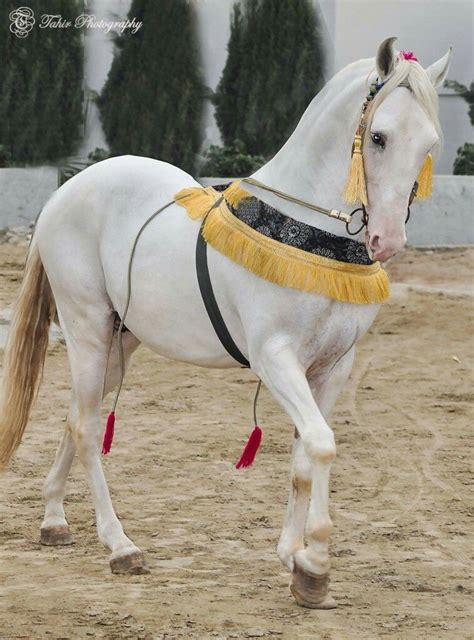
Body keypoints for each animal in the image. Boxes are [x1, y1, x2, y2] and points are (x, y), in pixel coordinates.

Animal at [0, 37, 451, 608]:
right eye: (379, 136)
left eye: (429, 143)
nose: (387, 241)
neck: (312, 236)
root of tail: (65, 192)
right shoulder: (276, 359)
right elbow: (322, 444)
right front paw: (316, 564)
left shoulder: (332, 368)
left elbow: (305, 454)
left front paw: (294, 559)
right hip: (87, 329)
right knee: (85, 426)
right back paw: (120, 545)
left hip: (120, 343)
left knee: (74, 414)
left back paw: (54, 519)